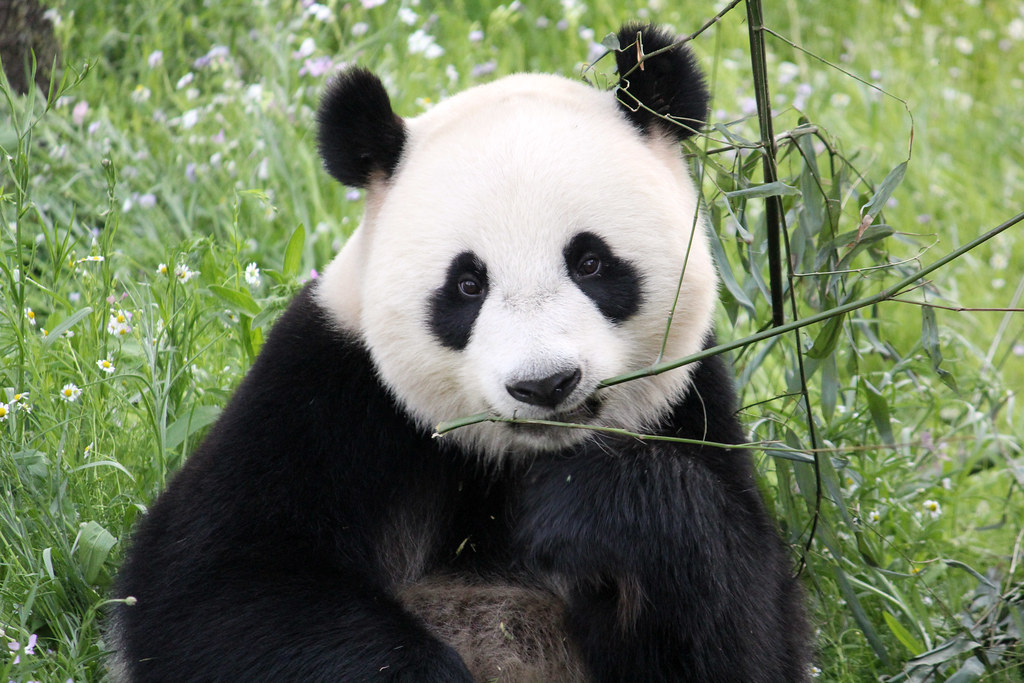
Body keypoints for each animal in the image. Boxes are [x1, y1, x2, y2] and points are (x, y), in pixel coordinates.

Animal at [111, 22, 810, 683]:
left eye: (590, 262)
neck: (509, 460)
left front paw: (582, 504)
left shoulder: (692, 403)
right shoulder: (325, 394)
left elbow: (746, 625)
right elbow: (217, 587)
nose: (545, 385)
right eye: (467, 285)